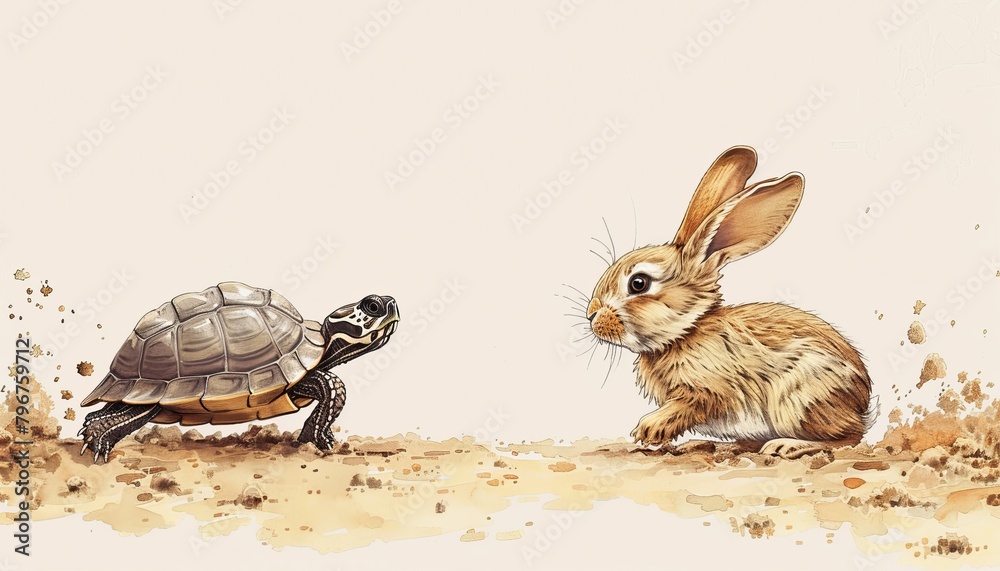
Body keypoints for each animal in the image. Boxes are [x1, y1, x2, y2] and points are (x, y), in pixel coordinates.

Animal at [585, 145, 876, 459]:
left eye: (638, 283)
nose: (591, 315)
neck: (686, 331)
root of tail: (862, 403)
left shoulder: (712, 389)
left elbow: (686, 406)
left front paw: (648, 428)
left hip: (801, 400)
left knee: (850, 436)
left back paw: (787, 445)